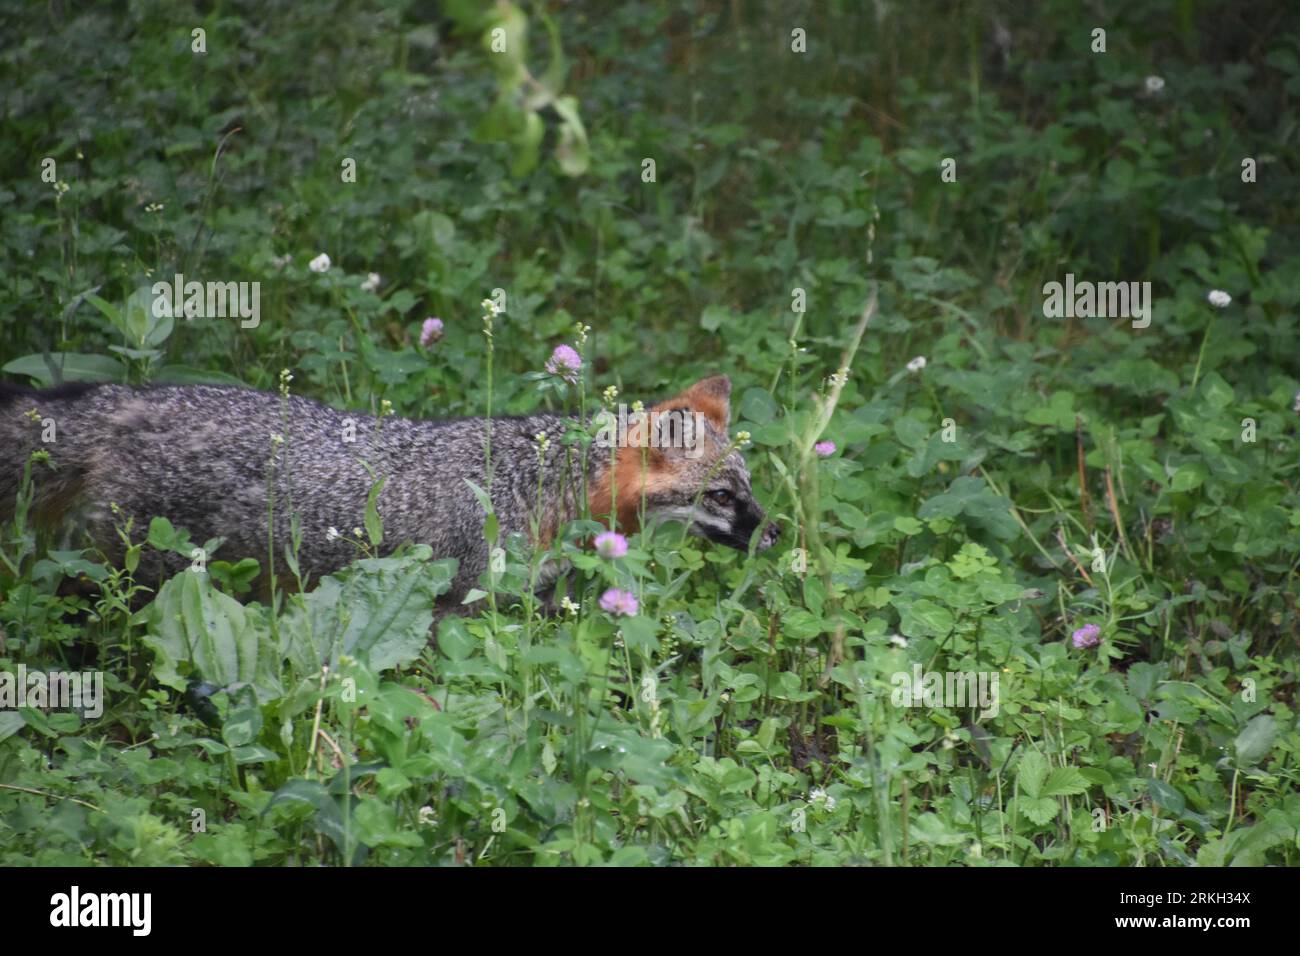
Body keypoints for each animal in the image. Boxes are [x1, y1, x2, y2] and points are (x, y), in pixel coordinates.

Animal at [0, 374, 779, 608]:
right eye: (721, 497)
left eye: (748, 489)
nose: (775, 533)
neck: (541, 487)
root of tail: (129, 399)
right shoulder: (456, 600)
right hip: (143, 574)